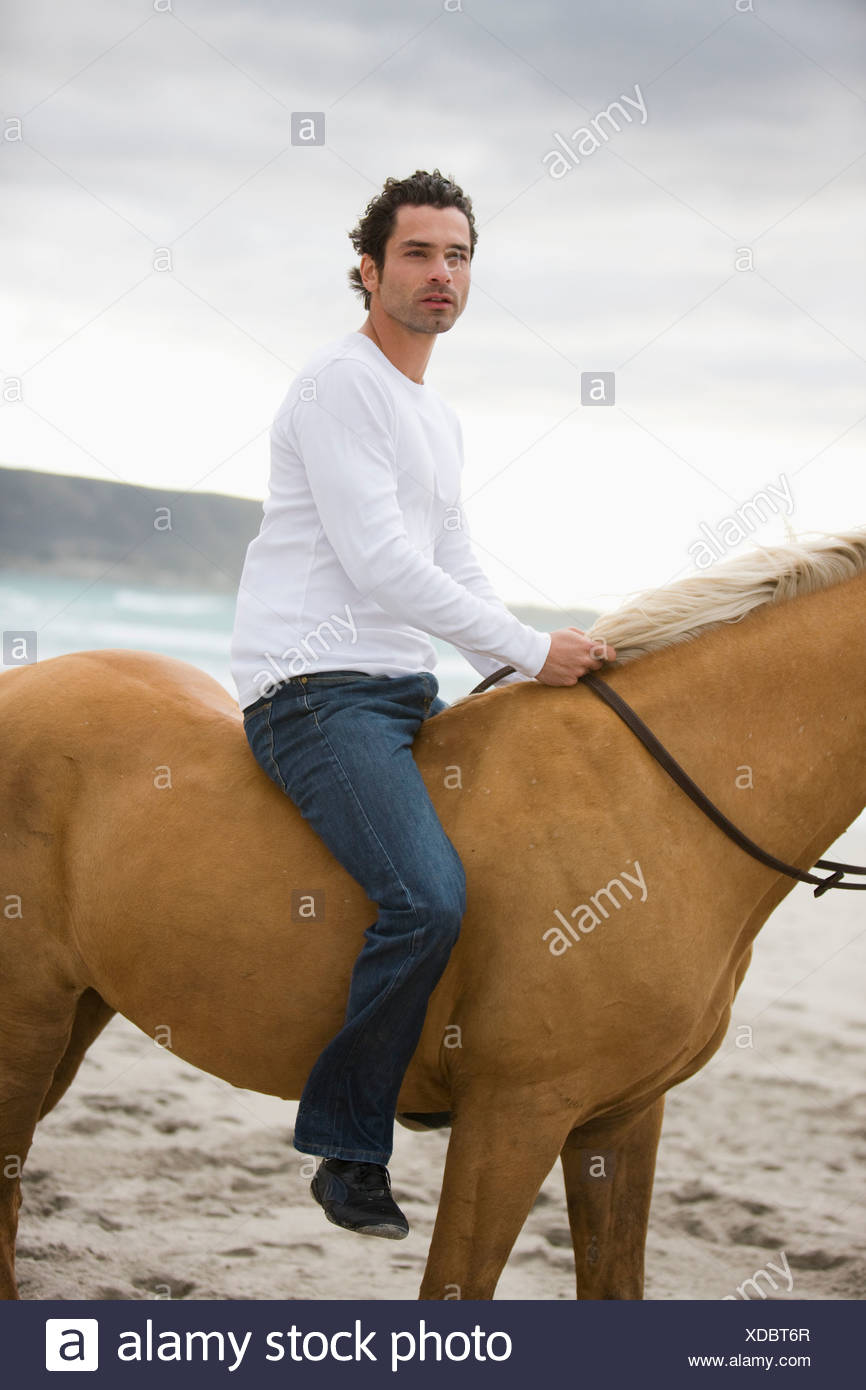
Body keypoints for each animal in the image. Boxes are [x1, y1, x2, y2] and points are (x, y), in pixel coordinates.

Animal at [1, 528, 864, 1301]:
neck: (652, 805)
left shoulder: (621, 1119)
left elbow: (614, 1283)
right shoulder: (513, 1115)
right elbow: (456, 1287)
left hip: (80, 1010)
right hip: (29, 1019)